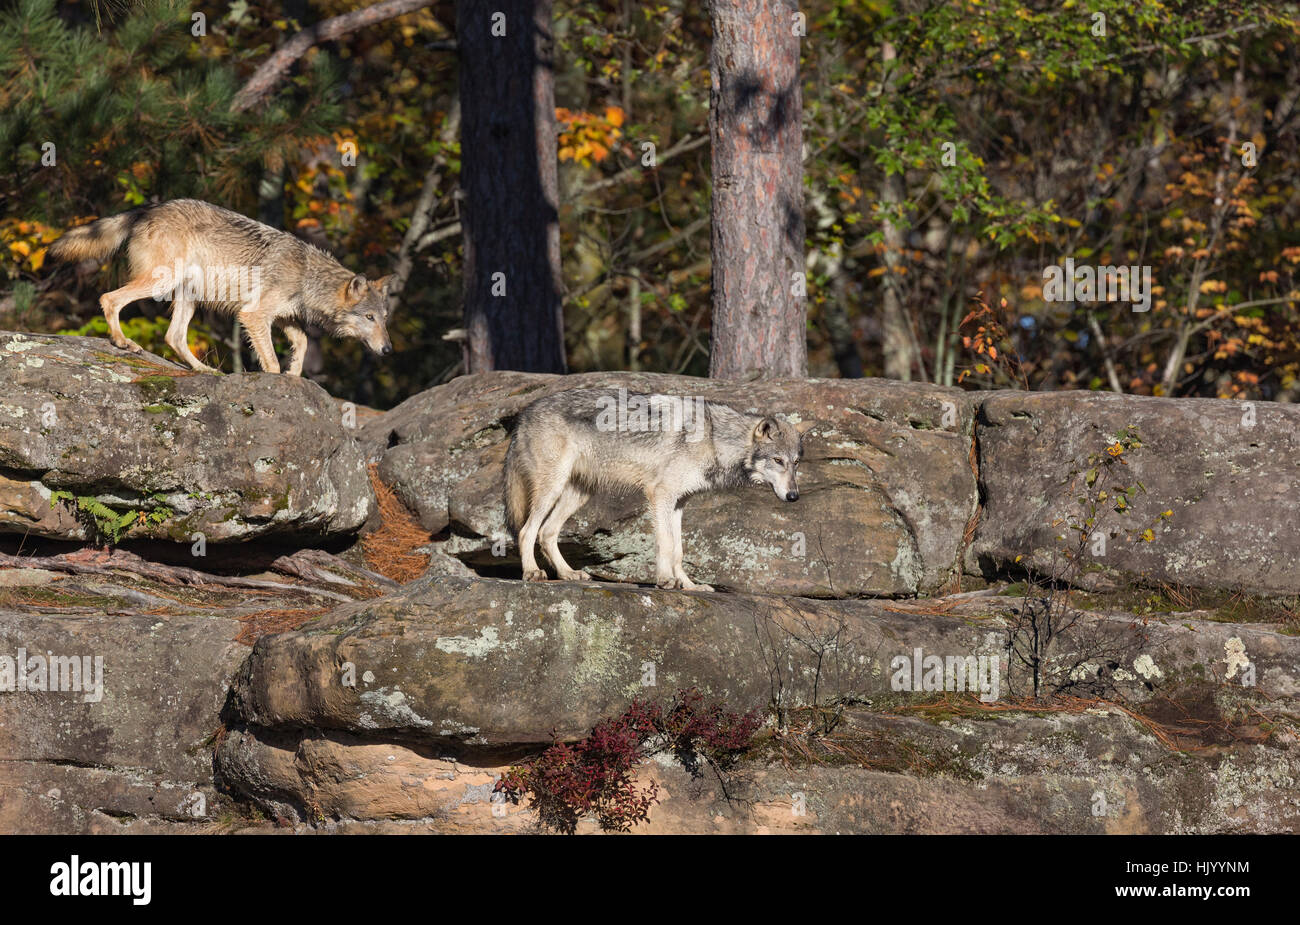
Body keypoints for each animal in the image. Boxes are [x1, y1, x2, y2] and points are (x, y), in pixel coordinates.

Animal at [47, 199, 393, 375]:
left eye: (384, 319)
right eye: (369, 318)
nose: (389, 350)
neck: (308, 276)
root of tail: (148, 208)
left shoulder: (283, 317)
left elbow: (304, 342)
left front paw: (294, 374)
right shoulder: (254, 315)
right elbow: (271, 361)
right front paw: (278, 379)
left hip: (189, 297)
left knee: (173, 337)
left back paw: (205, 370)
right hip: (161, 283)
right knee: (109, 298)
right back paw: (122, 342)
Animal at [504, 388, 806, 591]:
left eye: (795, 463)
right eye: (777, 461)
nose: (794, 496)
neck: (713, 439)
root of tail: (524, 414)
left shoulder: (679, 503)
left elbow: (679, 551)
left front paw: (688, 586)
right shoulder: (660, 494)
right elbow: (666, 543)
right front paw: (664, 581)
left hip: (578, 494)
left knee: (547, 532)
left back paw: (568, 574)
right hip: (552, 488)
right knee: (526, 531)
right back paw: (532, 573)